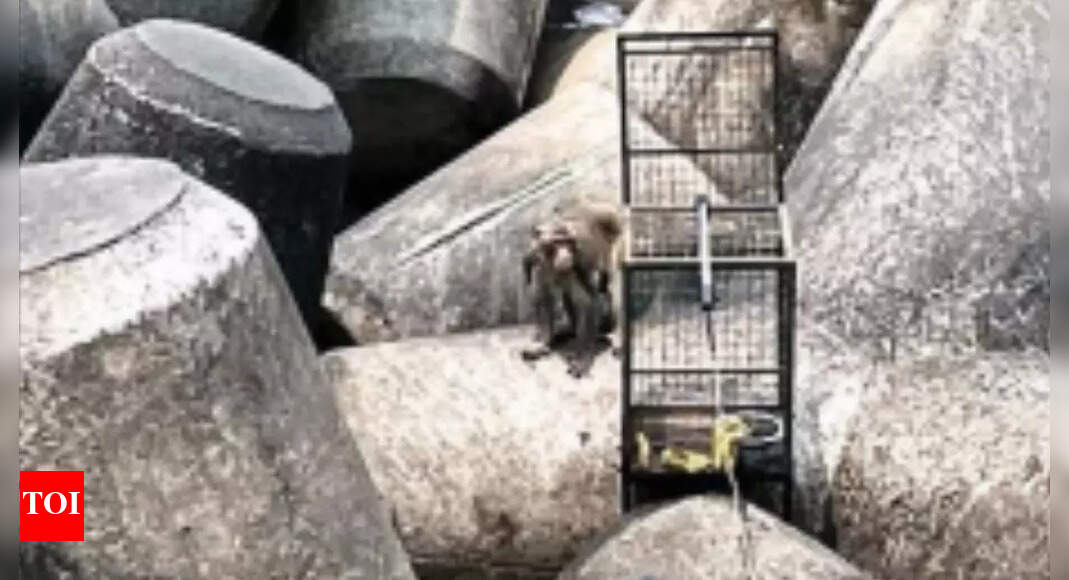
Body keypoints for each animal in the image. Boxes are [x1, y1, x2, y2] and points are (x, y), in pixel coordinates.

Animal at [520, 202, 623, 377]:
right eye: (557, 242)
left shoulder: (578, 264)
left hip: (619, 243)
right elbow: (544, 296)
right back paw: (569, 332)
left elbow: (588, 302)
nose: (566, 255)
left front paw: (583, 359)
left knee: (614, 288)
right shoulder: (540, 262)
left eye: (568, 242)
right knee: (568, 296)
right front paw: (543, 343)